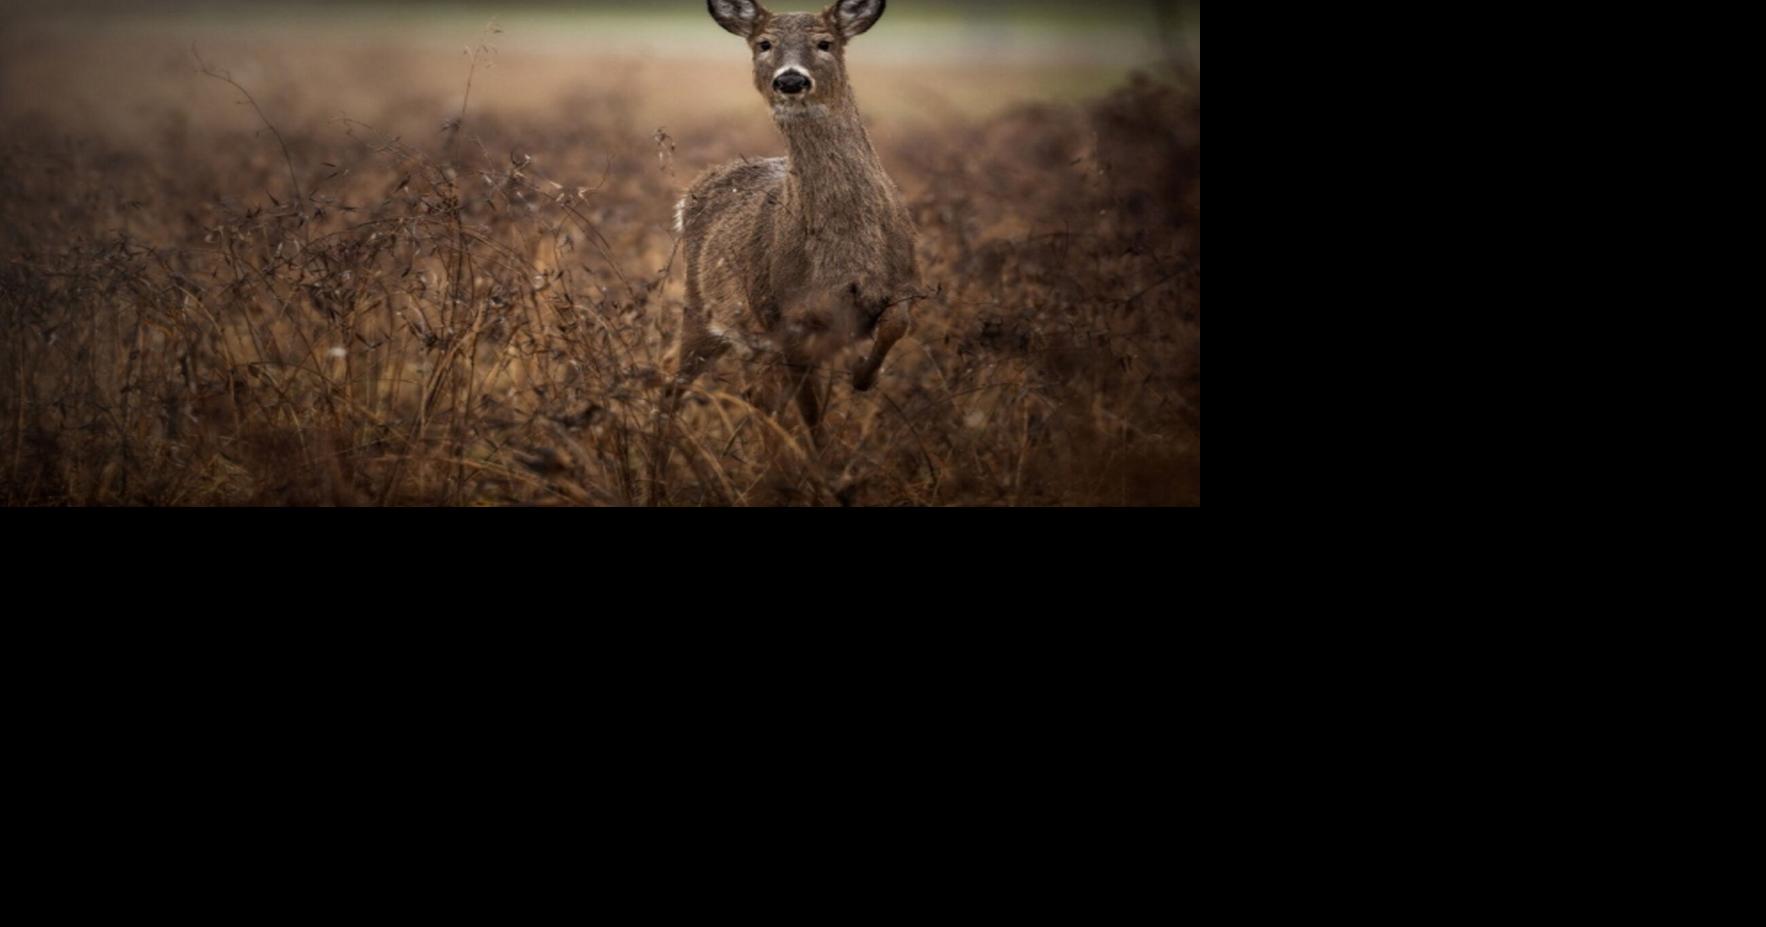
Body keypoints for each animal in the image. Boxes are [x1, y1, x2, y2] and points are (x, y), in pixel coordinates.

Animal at [671, 0, 918, 440]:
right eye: (764, 43)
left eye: (825, 42)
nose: (790, 79)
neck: (848, 253)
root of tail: (689, 196)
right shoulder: (783, 317)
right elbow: (811, 413)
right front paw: (822, 457)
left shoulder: (904, 280)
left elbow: (895, 324)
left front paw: (864, 375)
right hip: (699, 306)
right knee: (674, 381)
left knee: (757, 397)